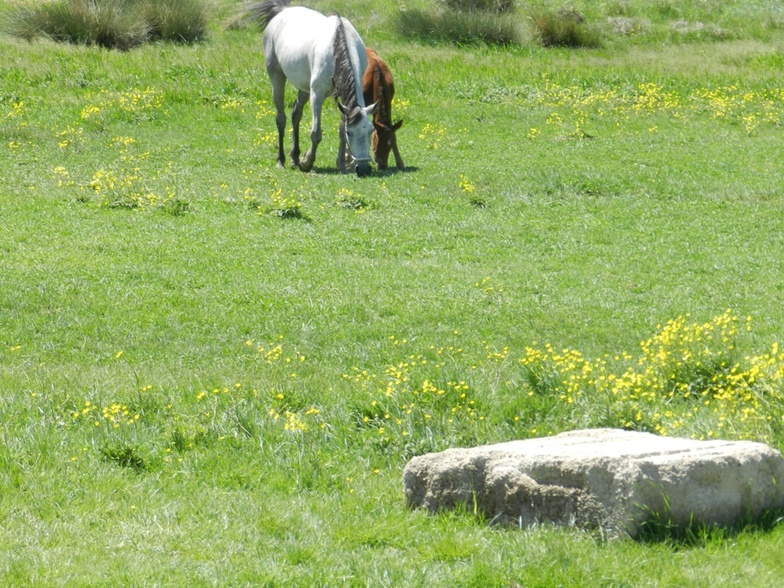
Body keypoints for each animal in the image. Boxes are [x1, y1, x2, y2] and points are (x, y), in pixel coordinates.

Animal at [247, 2, 378, 177]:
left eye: (370, 131)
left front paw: (341, 164)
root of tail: (282, 11)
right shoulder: (317, 95)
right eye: (351, 133)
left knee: (296, 114)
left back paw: (295, 157)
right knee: (281, 119)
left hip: (304, 88)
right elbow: (316, 133)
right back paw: (281, 161)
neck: (337, 47)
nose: (363, 169)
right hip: (277, 78)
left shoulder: (342, 100)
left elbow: (340, 129)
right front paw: (307, 162)